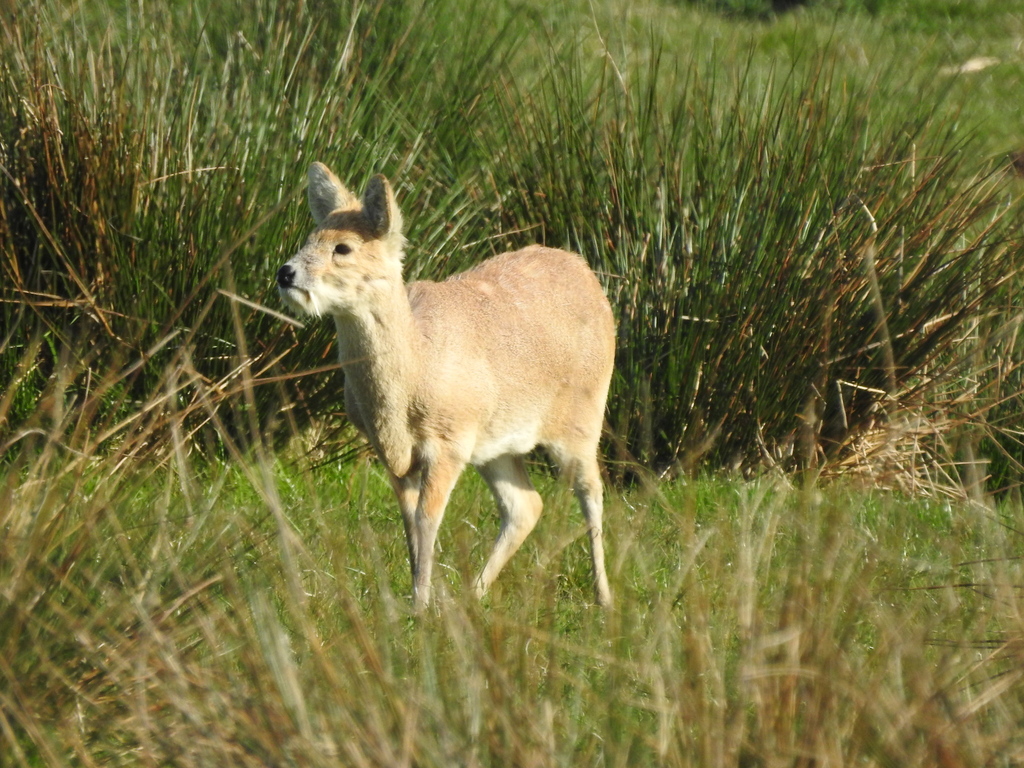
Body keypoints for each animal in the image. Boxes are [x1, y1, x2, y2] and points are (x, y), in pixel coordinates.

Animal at [276, 162, 615, 611]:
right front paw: (426, 598)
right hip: (496, 445)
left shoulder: (448, 440)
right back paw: (474, 595)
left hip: (582, 417)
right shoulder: (390, 453)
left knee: (591, 492)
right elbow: (408, 519)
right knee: (526, 506)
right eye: (309, 238)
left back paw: (604, 596)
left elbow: (427, 518)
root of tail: (588, 274)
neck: (413, 373)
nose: (285, 273)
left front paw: (420, 606)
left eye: (343, 248)